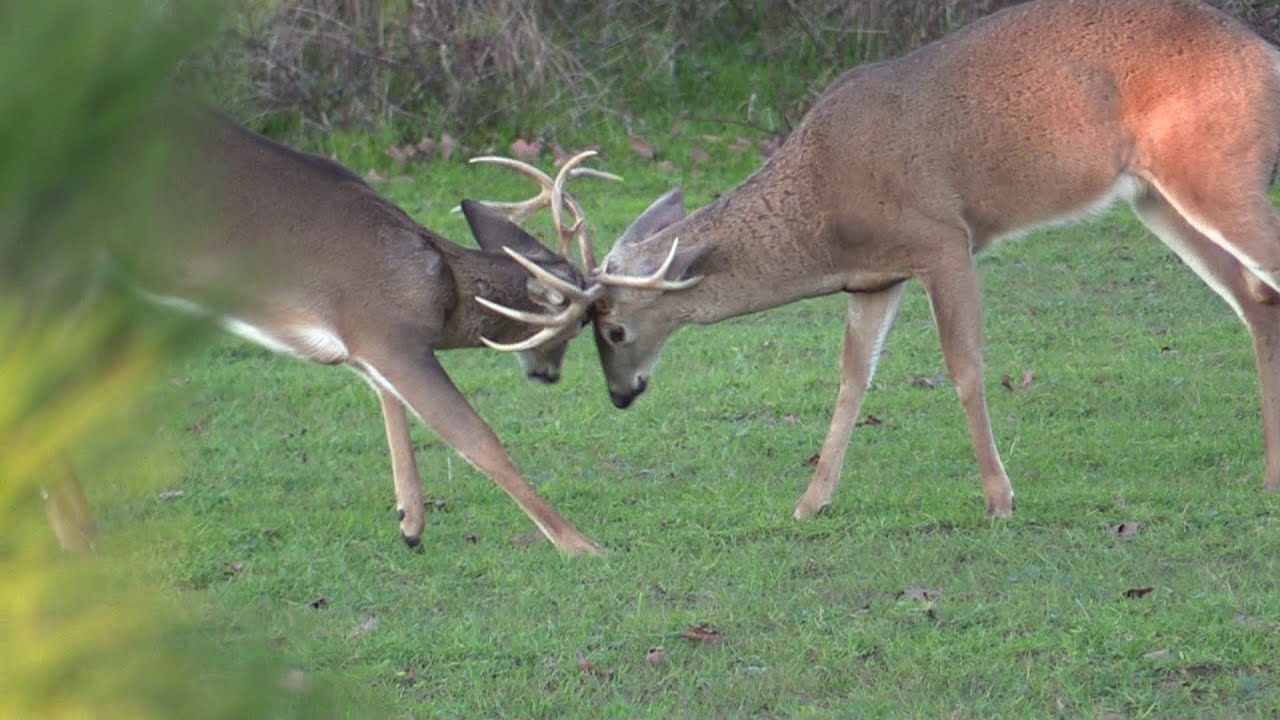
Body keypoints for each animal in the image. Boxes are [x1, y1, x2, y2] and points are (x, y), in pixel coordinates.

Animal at [139, 107, 615, 555]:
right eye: (576, 327)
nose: (548, 375)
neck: (440, 287)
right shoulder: (385, 330)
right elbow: (476, 436)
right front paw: (580, 544)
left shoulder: (368, 346)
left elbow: (391, 404)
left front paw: (411, 523)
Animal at [481, 0, 1280, 523]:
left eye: (614, 330)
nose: (621, 395)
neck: (826, 204)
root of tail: (1265, 53)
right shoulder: (874, 276)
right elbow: (851, 379)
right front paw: (810, 502)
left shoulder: (943, 238)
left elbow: (964, 368)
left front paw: (999, 498)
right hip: (1156, 195)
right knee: (1255, 299)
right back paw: (1269, 478)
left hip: (1215, 169)